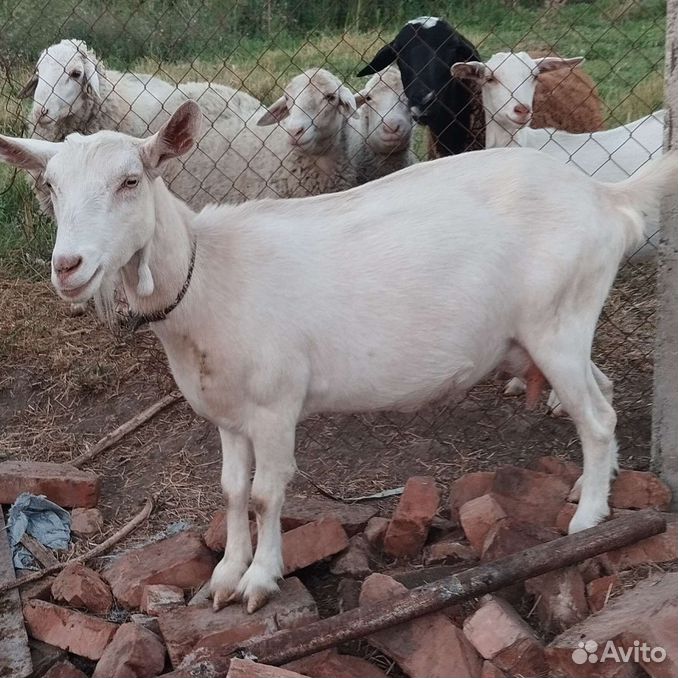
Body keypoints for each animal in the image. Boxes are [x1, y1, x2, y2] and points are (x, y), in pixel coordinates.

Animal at [2, 101, 676, 616]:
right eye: (51, 186)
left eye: (131, 181)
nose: (68, 267)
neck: (209, 275)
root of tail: (605, 197)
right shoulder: (226, 412)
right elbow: (230, 491)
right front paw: (224, 575)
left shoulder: (276, 404)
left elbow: (266, 495)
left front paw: (259, 581)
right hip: (557, 329)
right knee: (602, 393)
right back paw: (594, 487)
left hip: (556, 321)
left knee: (598, 418)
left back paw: (587, 519)